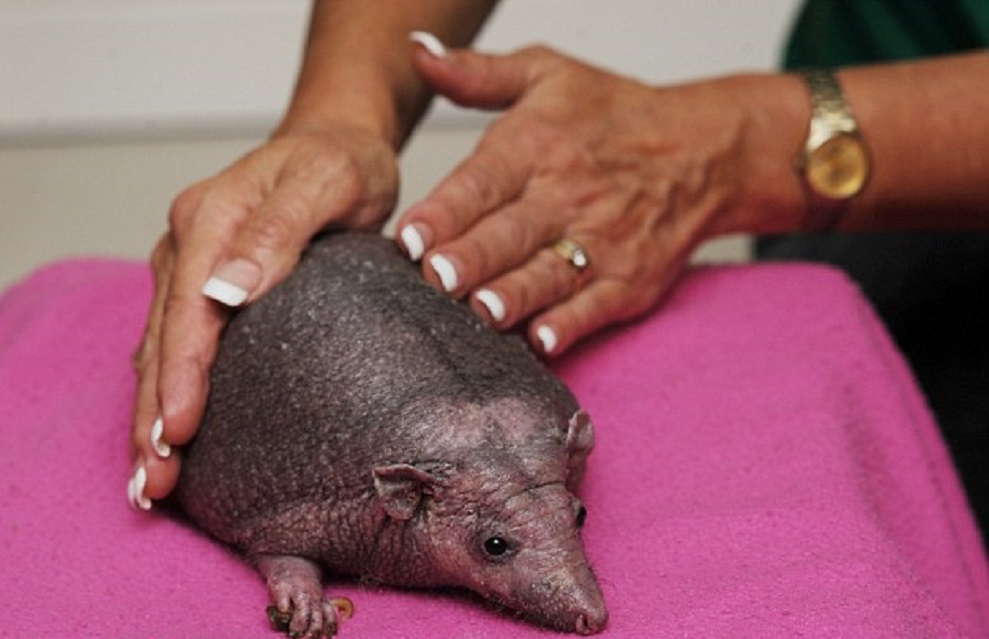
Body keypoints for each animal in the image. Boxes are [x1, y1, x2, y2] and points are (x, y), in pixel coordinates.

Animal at [175, 231, 608, 638]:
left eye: (581, 514)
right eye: (495, 545)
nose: (593, 617)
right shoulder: (305, 501)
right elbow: (275, 552)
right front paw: (307, 606)